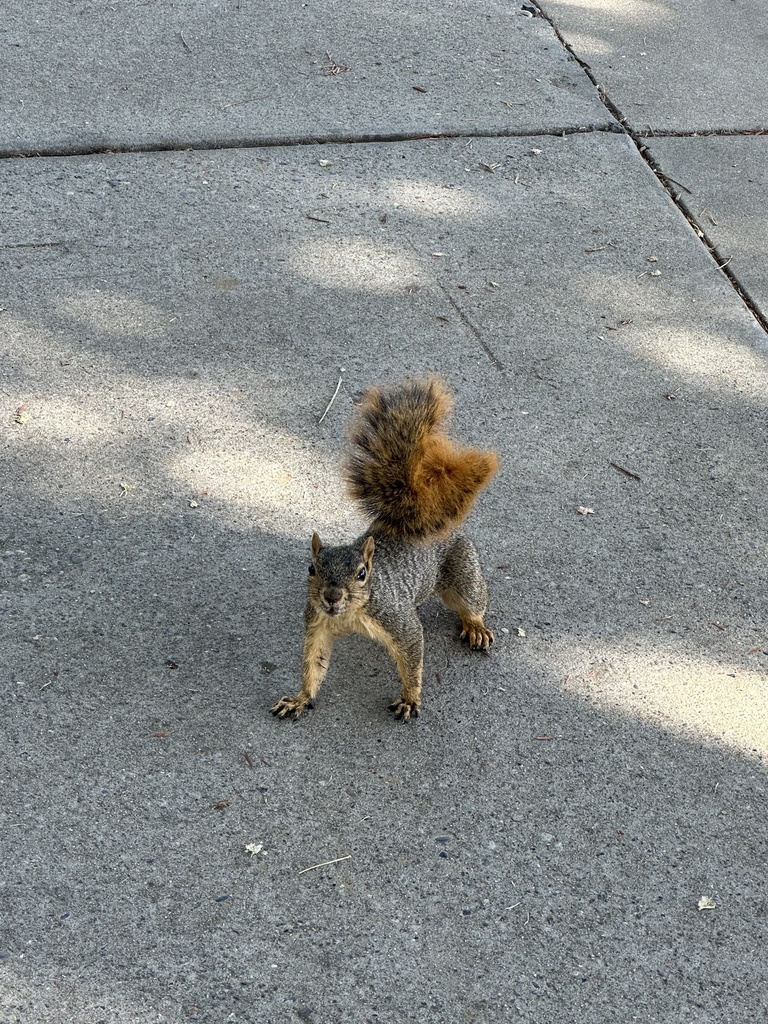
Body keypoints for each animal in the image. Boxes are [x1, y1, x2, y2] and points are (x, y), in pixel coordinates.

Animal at [271, 376, 499, 722]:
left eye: (362, 574)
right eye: (312, 568)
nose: (332, 596)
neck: (349, 615)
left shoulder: (396, 619)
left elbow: (413, 653)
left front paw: (410, 698)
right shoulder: (318, 623)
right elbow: (314, 662)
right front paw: (301, 698)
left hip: (462, 566)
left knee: (472, 598)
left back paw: (476, 626)